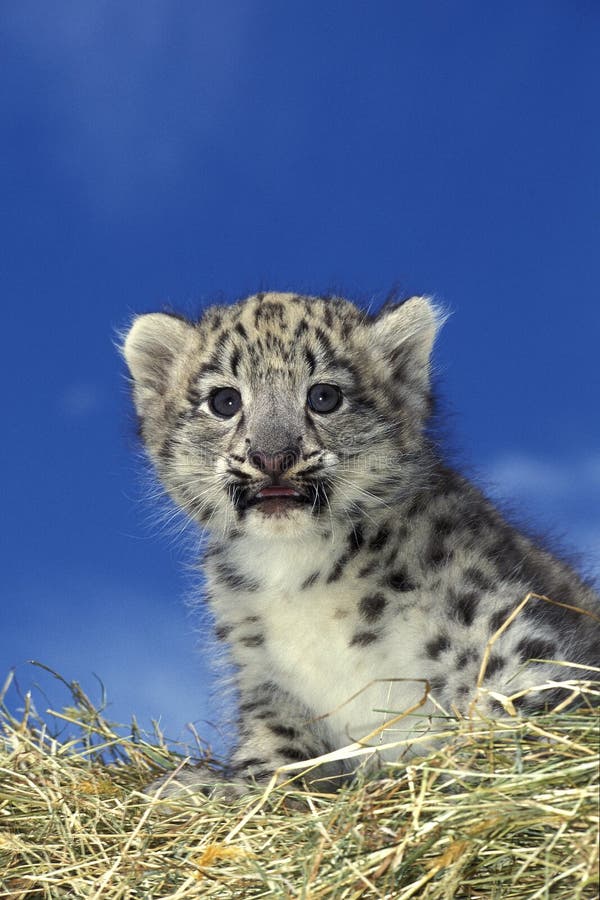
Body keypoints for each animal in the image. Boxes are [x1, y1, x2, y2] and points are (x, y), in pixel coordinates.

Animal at [123, 290, 599, 800]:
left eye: (324, 396)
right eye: (225, 401)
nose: (272, 457)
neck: (296, 570)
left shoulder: (508, 641)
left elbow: (509, 715)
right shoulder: (265, 679)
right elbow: (273, 748)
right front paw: (221, 785)